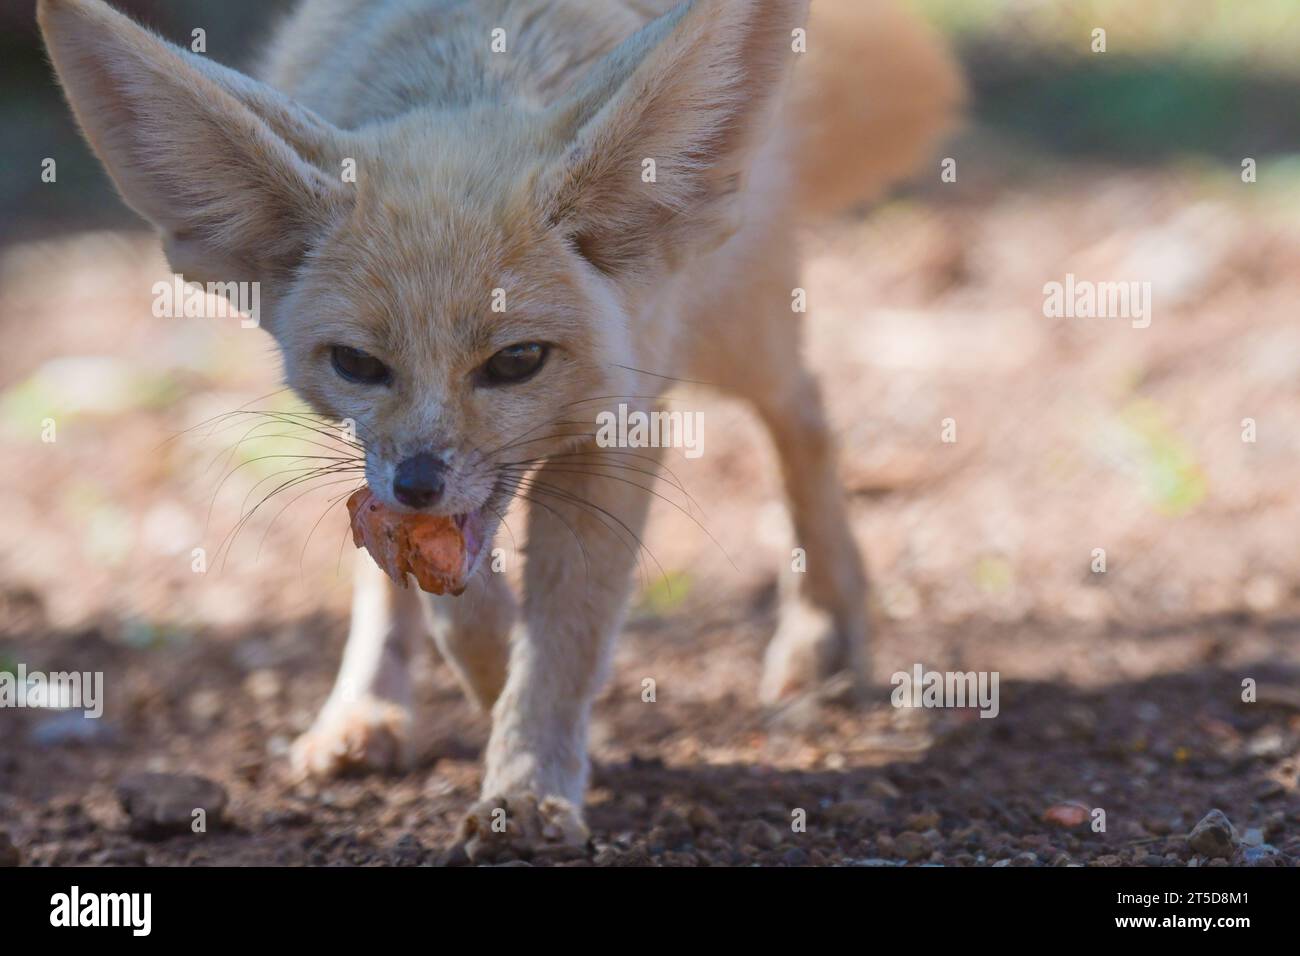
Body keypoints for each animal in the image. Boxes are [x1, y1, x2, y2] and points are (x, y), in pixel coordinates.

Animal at [38, 0, 962, 858]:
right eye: (357, 362)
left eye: (517, 361)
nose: (418, 482)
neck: (471, 70)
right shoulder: (389, 474)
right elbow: (459, 607)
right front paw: (492, 695)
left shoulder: (619, 430)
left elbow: (562, 638)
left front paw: (527, 785)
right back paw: (365, 707)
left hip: (739, 335)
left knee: (806, 417)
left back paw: (824, 625)